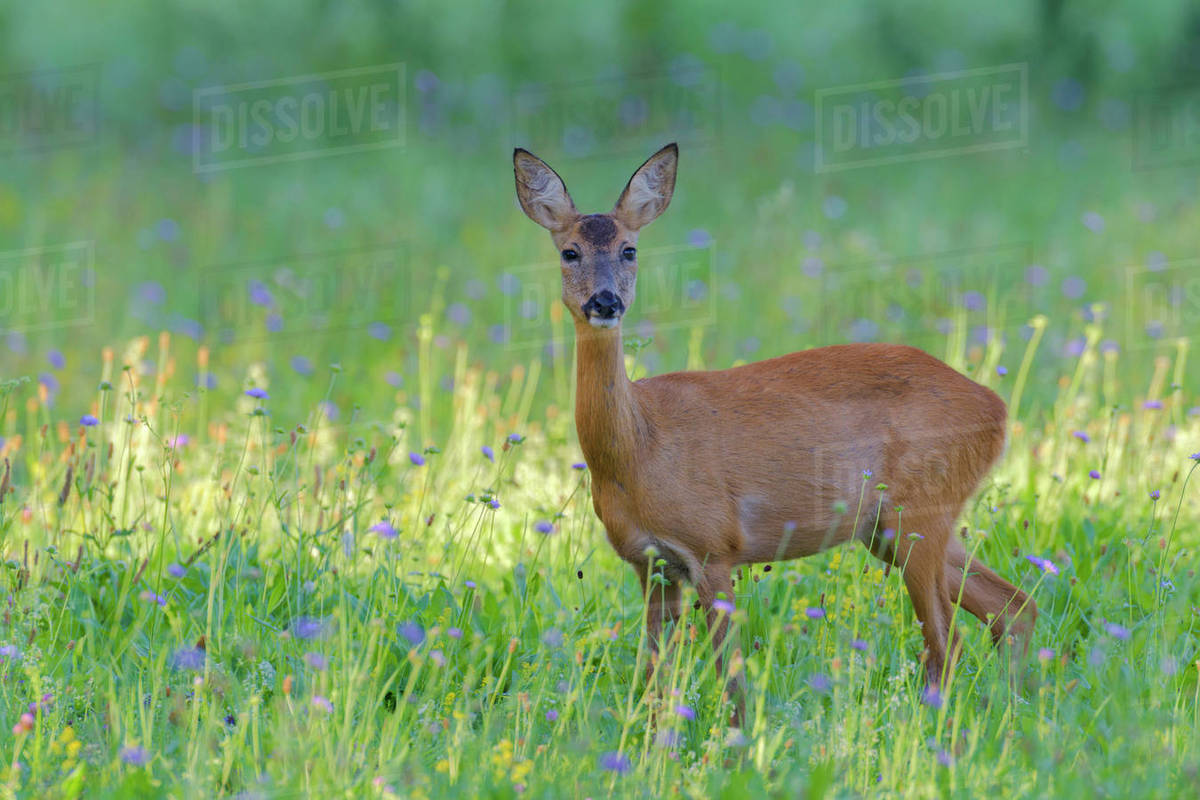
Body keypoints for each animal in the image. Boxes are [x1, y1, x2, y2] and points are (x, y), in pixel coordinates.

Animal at [512, 142, 1036, 725]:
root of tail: (996, 406)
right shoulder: (651, 564)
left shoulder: (714, 546)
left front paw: (737, 742)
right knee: (1013, 606)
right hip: (892, 527)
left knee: (948, 642)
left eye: (629, 250)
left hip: (917, 512)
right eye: (570, 252)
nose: (605, 302)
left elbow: (730, 673)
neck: (640, 448)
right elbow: (652, 680)